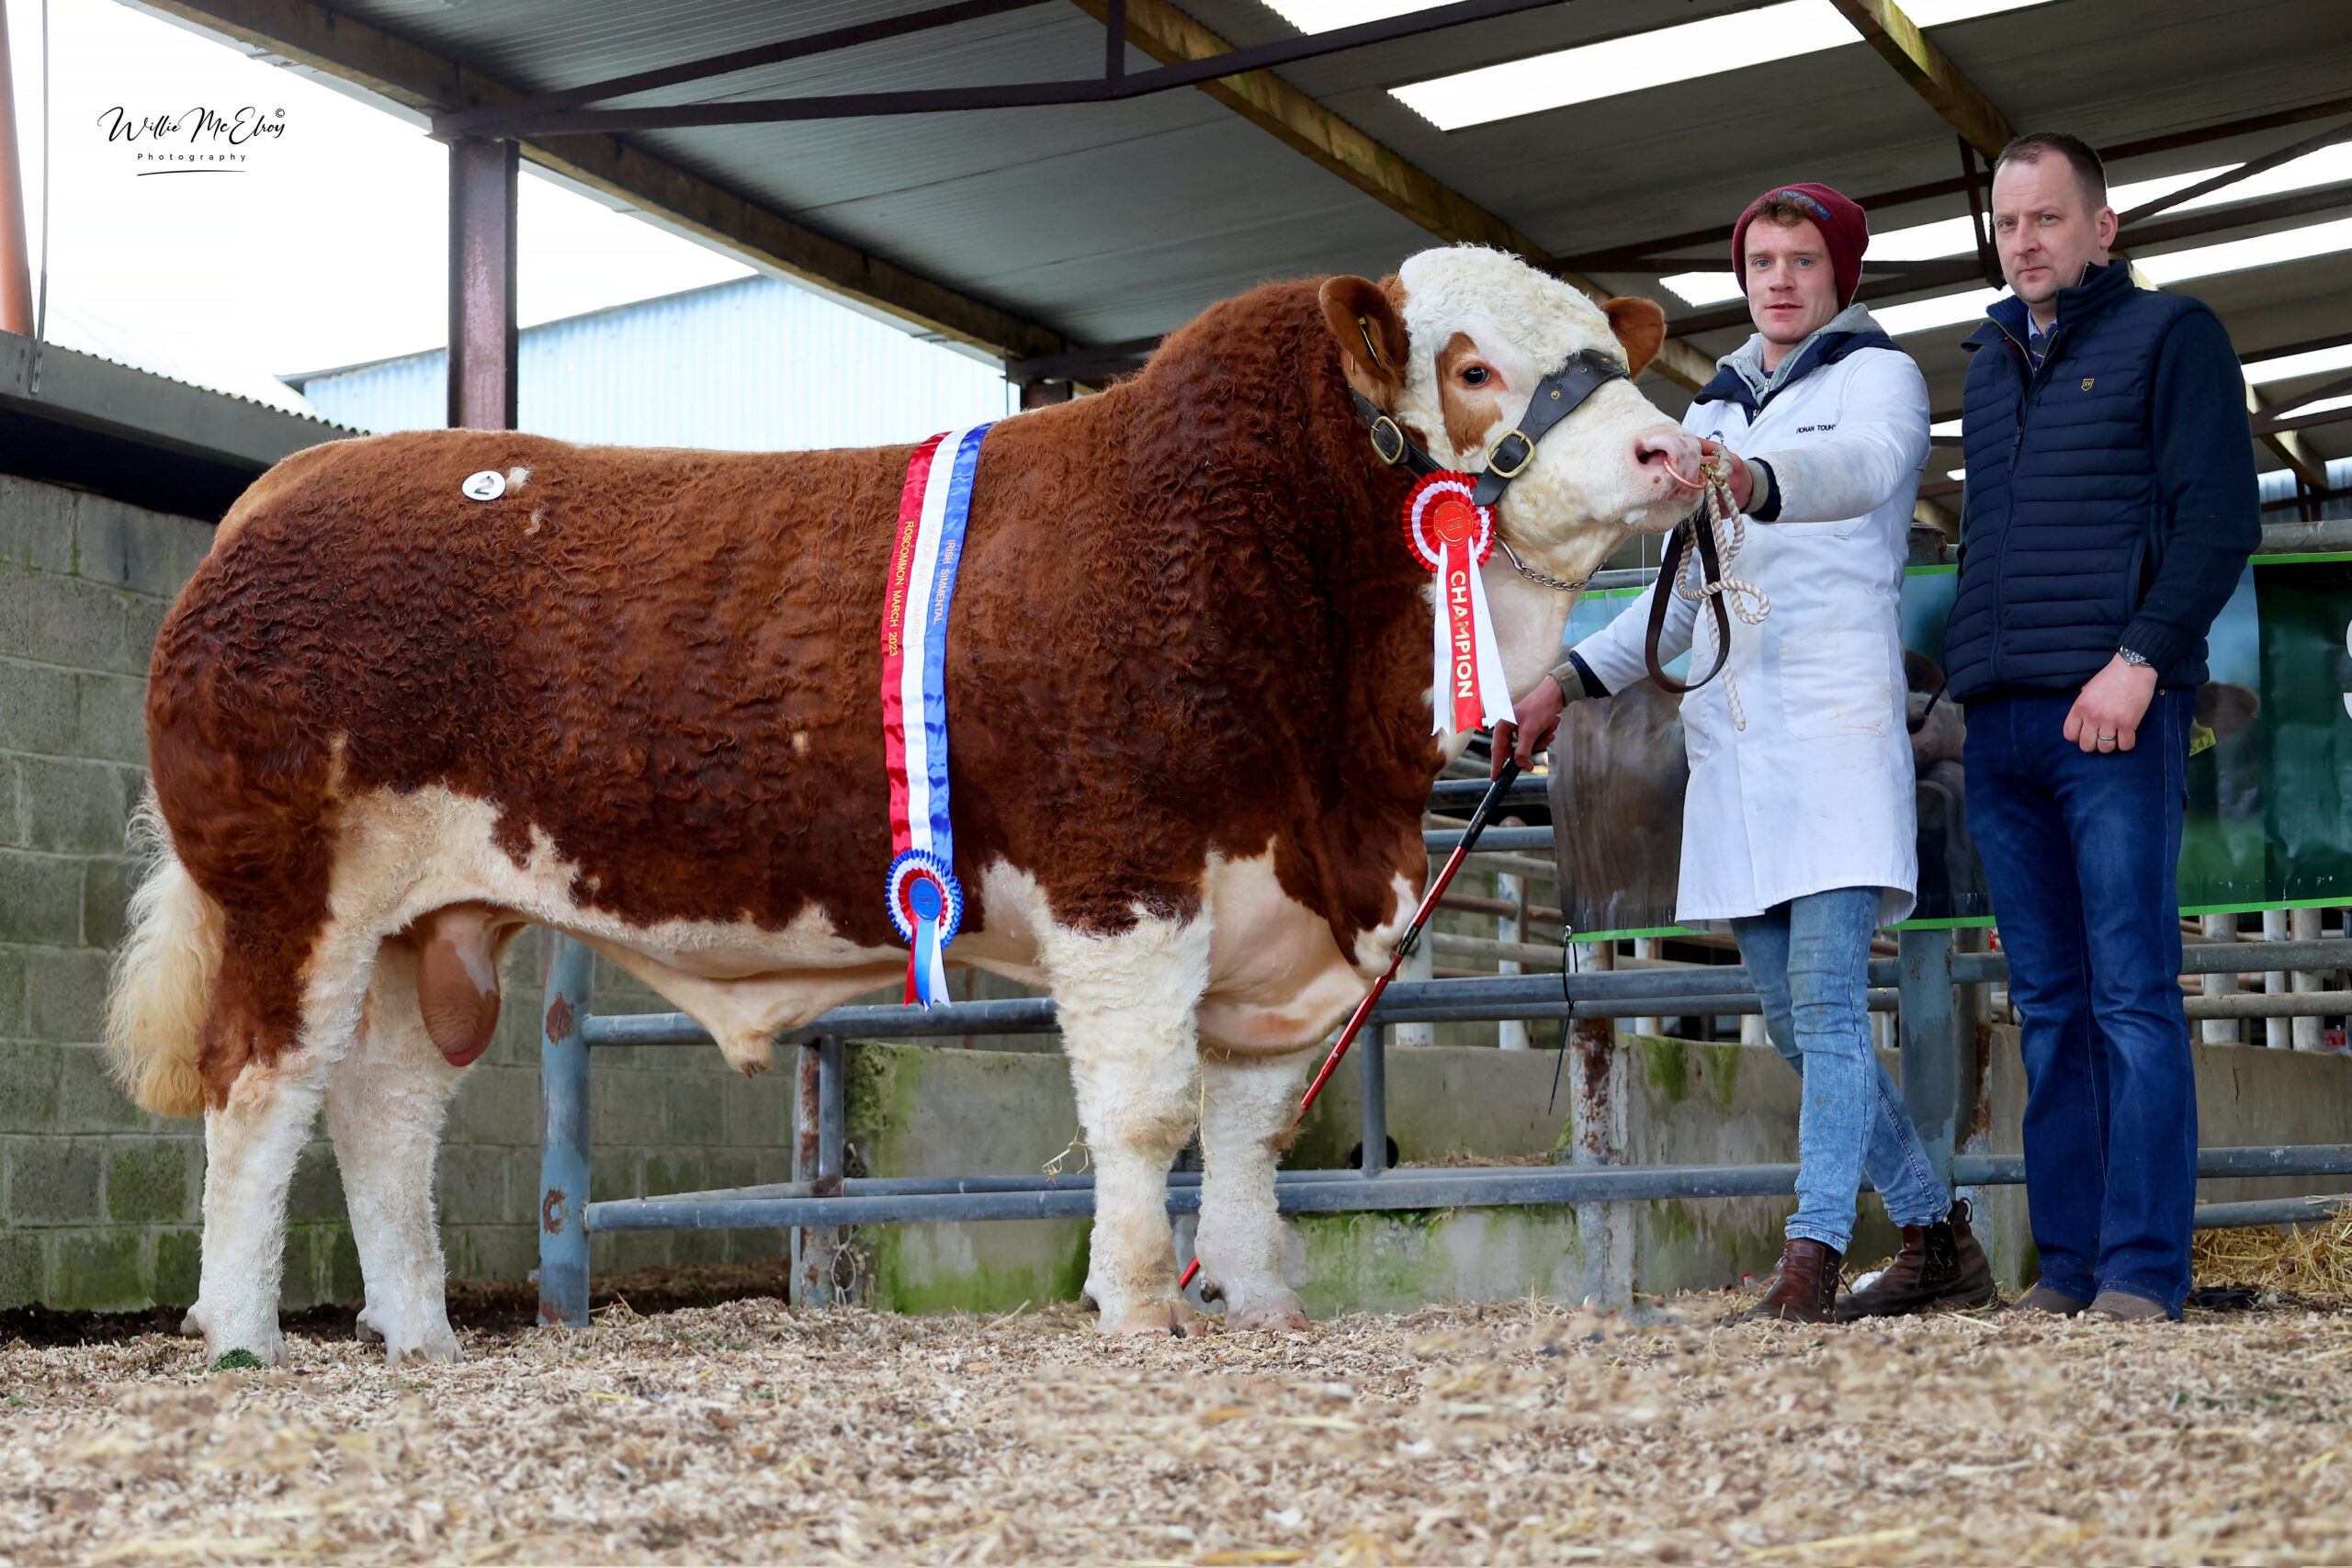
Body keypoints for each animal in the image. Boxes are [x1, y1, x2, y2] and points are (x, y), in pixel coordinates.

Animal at [104, 246, 1704, 1367]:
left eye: (1599, 353)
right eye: (1474, 367)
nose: (1675, 450)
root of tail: (285, 486)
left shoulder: (1280, 916)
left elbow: (1250, 1133)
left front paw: (1257, 1302)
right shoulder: (1124, 875)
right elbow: (1146, 1112)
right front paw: (1137, 1303)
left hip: (432, 921)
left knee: (382, 1111)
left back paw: (423, 1334)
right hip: (291, 892)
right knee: (259, 1092)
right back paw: (243, 1332)